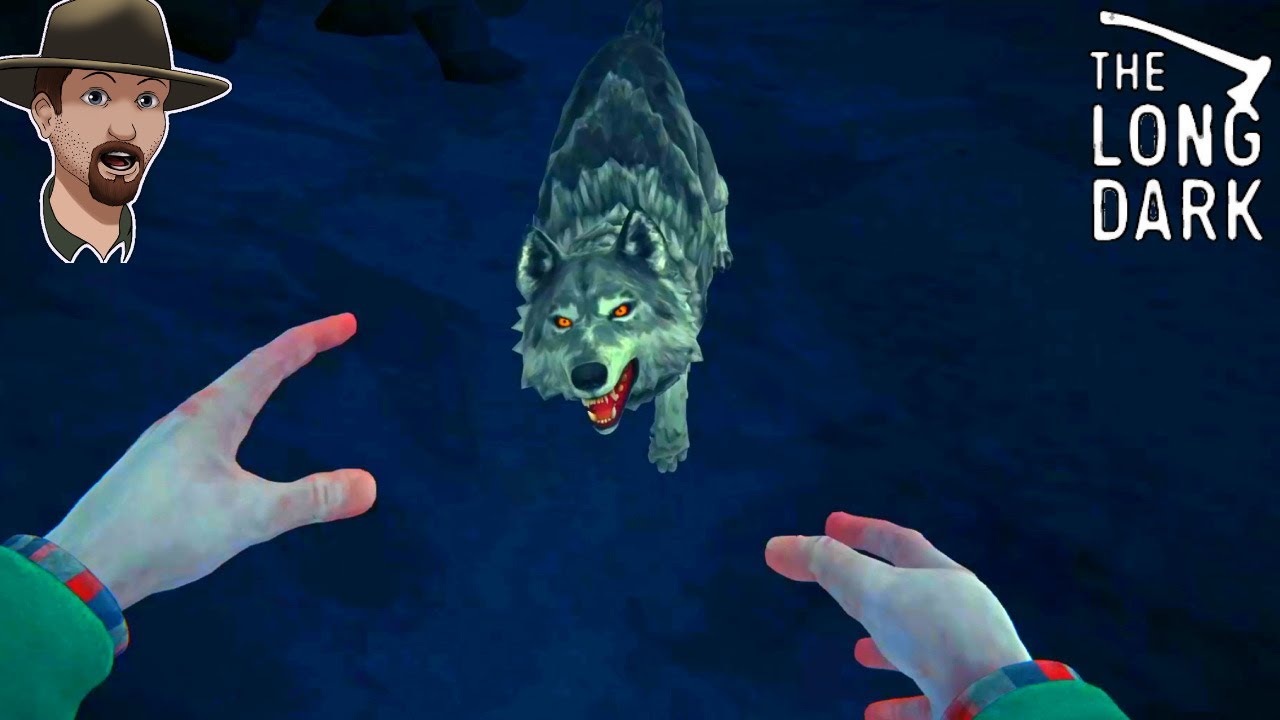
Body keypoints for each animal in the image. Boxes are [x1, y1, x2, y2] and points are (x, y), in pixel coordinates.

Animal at [512, 0, 731, 473]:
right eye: (562, 321)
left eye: (622, 310)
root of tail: (634, 38)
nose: (587, 375)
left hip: (708, 169)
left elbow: (674, 388)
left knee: (723, 192)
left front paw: (669, 447)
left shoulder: (688, 325)